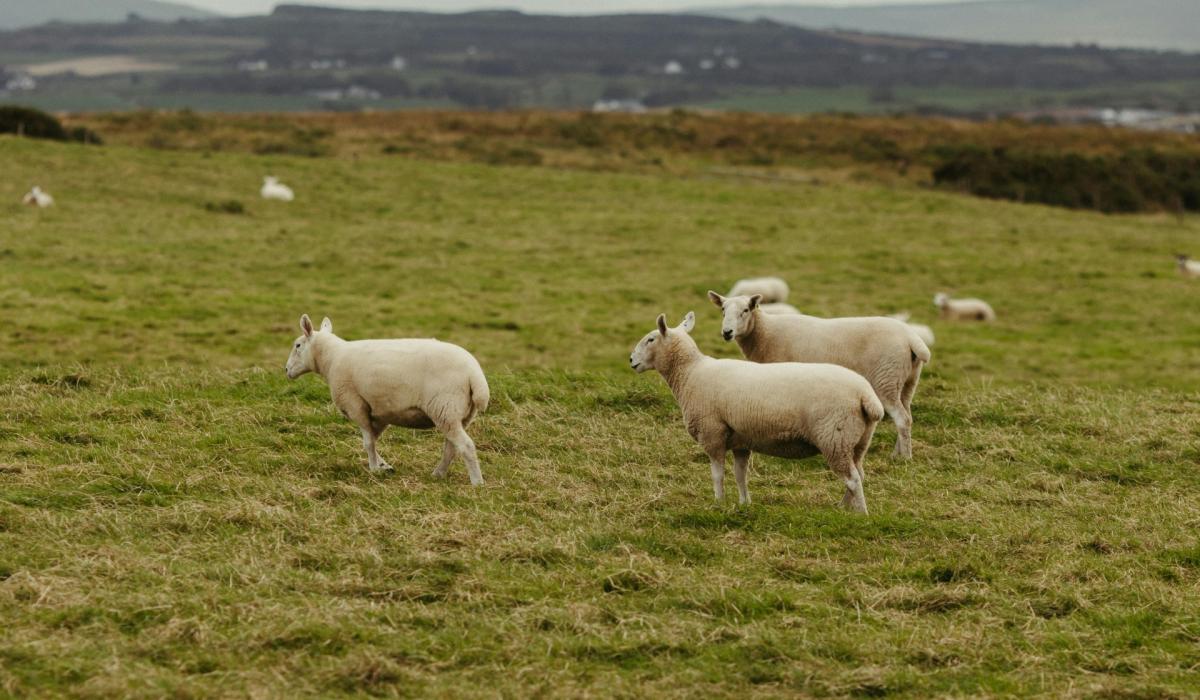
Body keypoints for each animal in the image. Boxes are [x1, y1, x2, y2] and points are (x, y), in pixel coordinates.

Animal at [285, 314, 489, 484]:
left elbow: (368, 442)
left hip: (444, 408)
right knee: (451, 448)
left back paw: (477, 483)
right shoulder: (380, 411)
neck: (332, 359)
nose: (286, 370)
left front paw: (374, 468)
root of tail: (475, 374)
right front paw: (384, 466)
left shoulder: (356, 404)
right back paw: (438, 474)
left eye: (298, 345)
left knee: (466, 446)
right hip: (460, 414)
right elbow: (374, 439)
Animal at [630, 311, 883, 512]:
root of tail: (866, 396)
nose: (631, 360)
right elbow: (740, 474)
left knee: (852, 479)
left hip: (834, 437)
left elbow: (717, 475)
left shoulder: (712, 433)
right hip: (856, 441)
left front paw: (718, 503)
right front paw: (744, 503)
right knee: (859, 474)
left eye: (651, 339)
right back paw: (843, 508)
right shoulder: (741, 439)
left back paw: (861, 514)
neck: (690, 373)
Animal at [708, 291, 930, 460]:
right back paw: (899, 452)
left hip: (886, 379)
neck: (764, 333)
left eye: (745, 310)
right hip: (907, 381)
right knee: (907, 416)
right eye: (723, 310)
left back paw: (904, 458)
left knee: (902, 418)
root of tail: (911, 338)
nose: (727, 332)